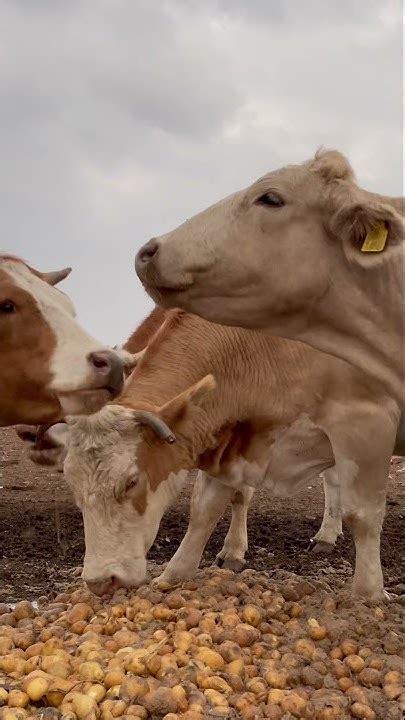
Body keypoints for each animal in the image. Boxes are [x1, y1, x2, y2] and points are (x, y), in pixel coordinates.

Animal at [27, 308, 401, 599]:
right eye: (73, 485)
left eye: (131, 481)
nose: (101, 580)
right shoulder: (234, 443)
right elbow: (204, 508)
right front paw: (174, 575)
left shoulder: (364, 425)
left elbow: (363, 514)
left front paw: (369, 593)